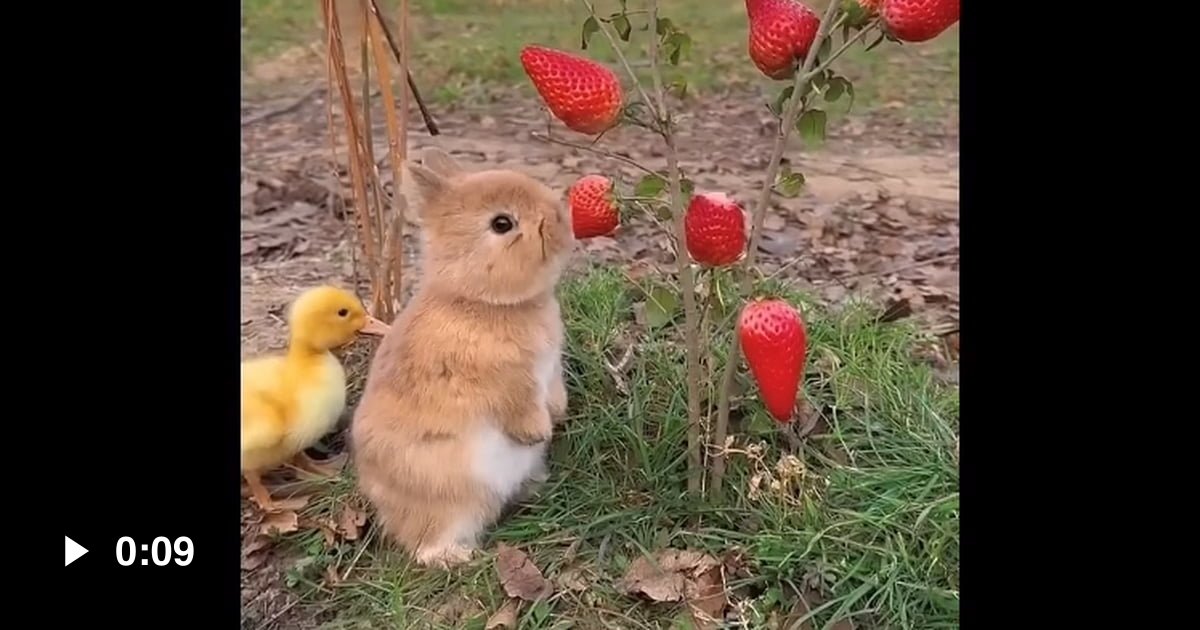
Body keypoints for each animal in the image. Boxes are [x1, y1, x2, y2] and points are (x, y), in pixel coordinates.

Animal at [349, 147, 574, 568]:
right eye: (502, 224)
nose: (560, 220)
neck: (480, 301)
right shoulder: (508, 382)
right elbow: (520, 407)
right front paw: (540, 432)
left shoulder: (549, 371)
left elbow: (554, 394)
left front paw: (558, 415)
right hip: (448, 497)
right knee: (426, 543)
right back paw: (457, 557)